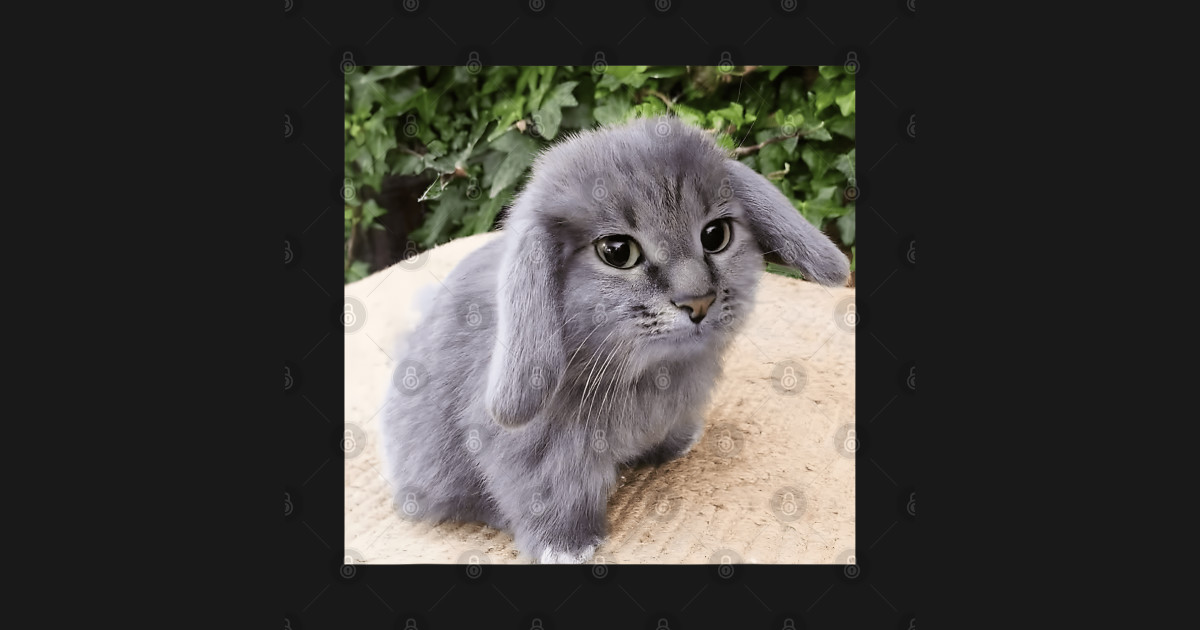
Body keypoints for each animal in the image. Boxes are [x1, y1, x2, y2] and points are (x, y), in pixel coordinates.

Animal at [378, 116, 850, 564]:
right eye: (617, 252)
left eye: (716, 236)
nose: (698, 301)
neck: (652, 370)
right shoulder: (540, 453)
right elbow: (551, 496)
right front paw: (566, 548)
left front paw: (678, 446)